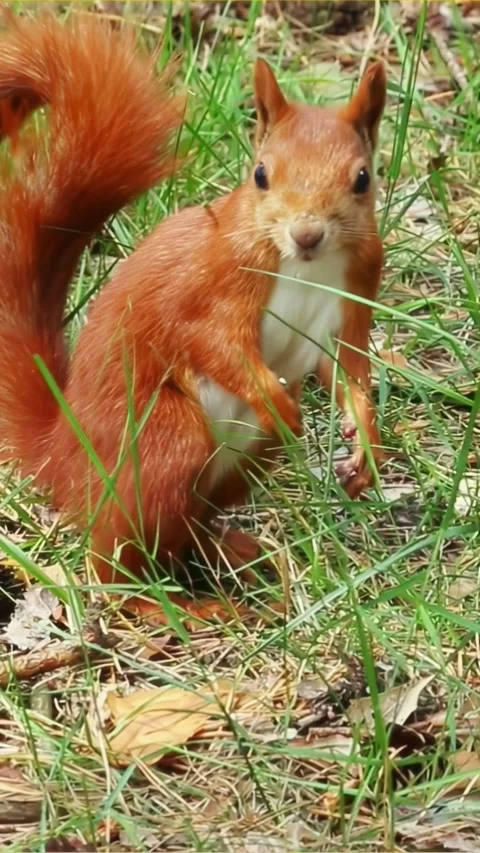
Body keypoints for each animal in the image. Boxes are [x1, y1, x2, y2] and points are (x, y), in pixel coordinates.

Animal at [0, 12, 386, 622]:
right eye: (260, 174)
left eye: (363, 178)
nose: (306, 234)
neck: (306, 266)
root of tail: (61, 458)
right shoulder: (211, 288)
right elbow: (212, 342)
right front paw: (279, 400)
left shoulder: (355, 296)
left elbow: (348, 370)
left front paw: (365, 443)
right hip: (163, 440)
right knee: (112, 563)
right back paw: (171, 607)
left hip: (245, 456)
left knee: (186, 526)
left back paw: (232, 554)